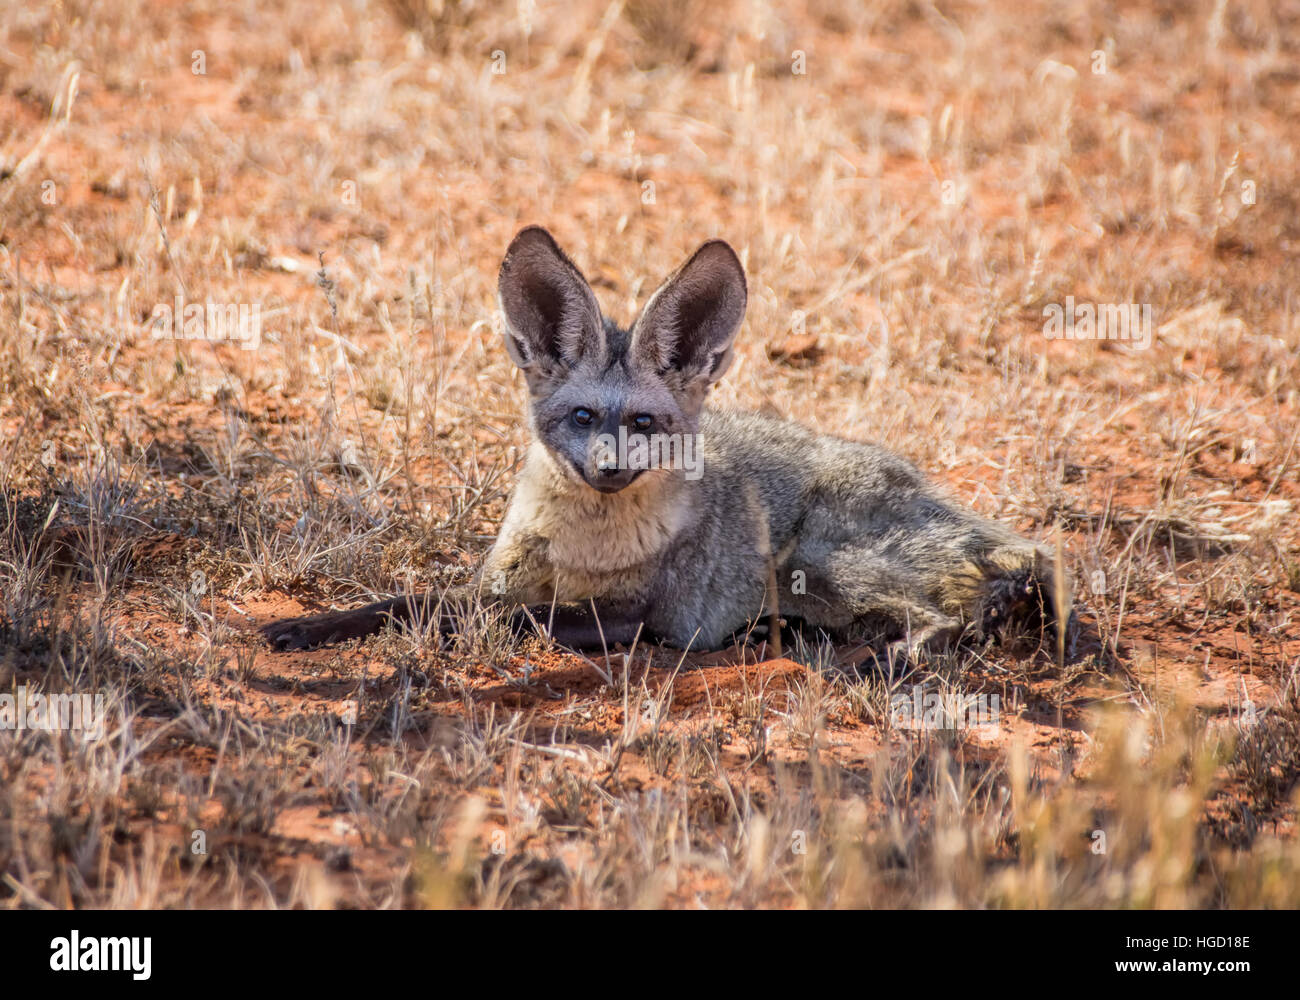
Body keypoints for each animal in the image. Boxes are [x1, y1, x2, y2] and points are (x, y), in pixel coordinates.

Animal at [262, 226, 1069, 661]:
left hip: (819, 564)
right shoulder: (498, 576)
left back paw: (882, 658)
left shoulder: (633, 615)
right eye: (583, 417)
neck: (584, 547)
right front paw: (312, 624)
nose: (609, 469)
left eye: (645, 424)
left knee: (948, 620)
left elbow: (481, 615)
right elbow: (411, 599)